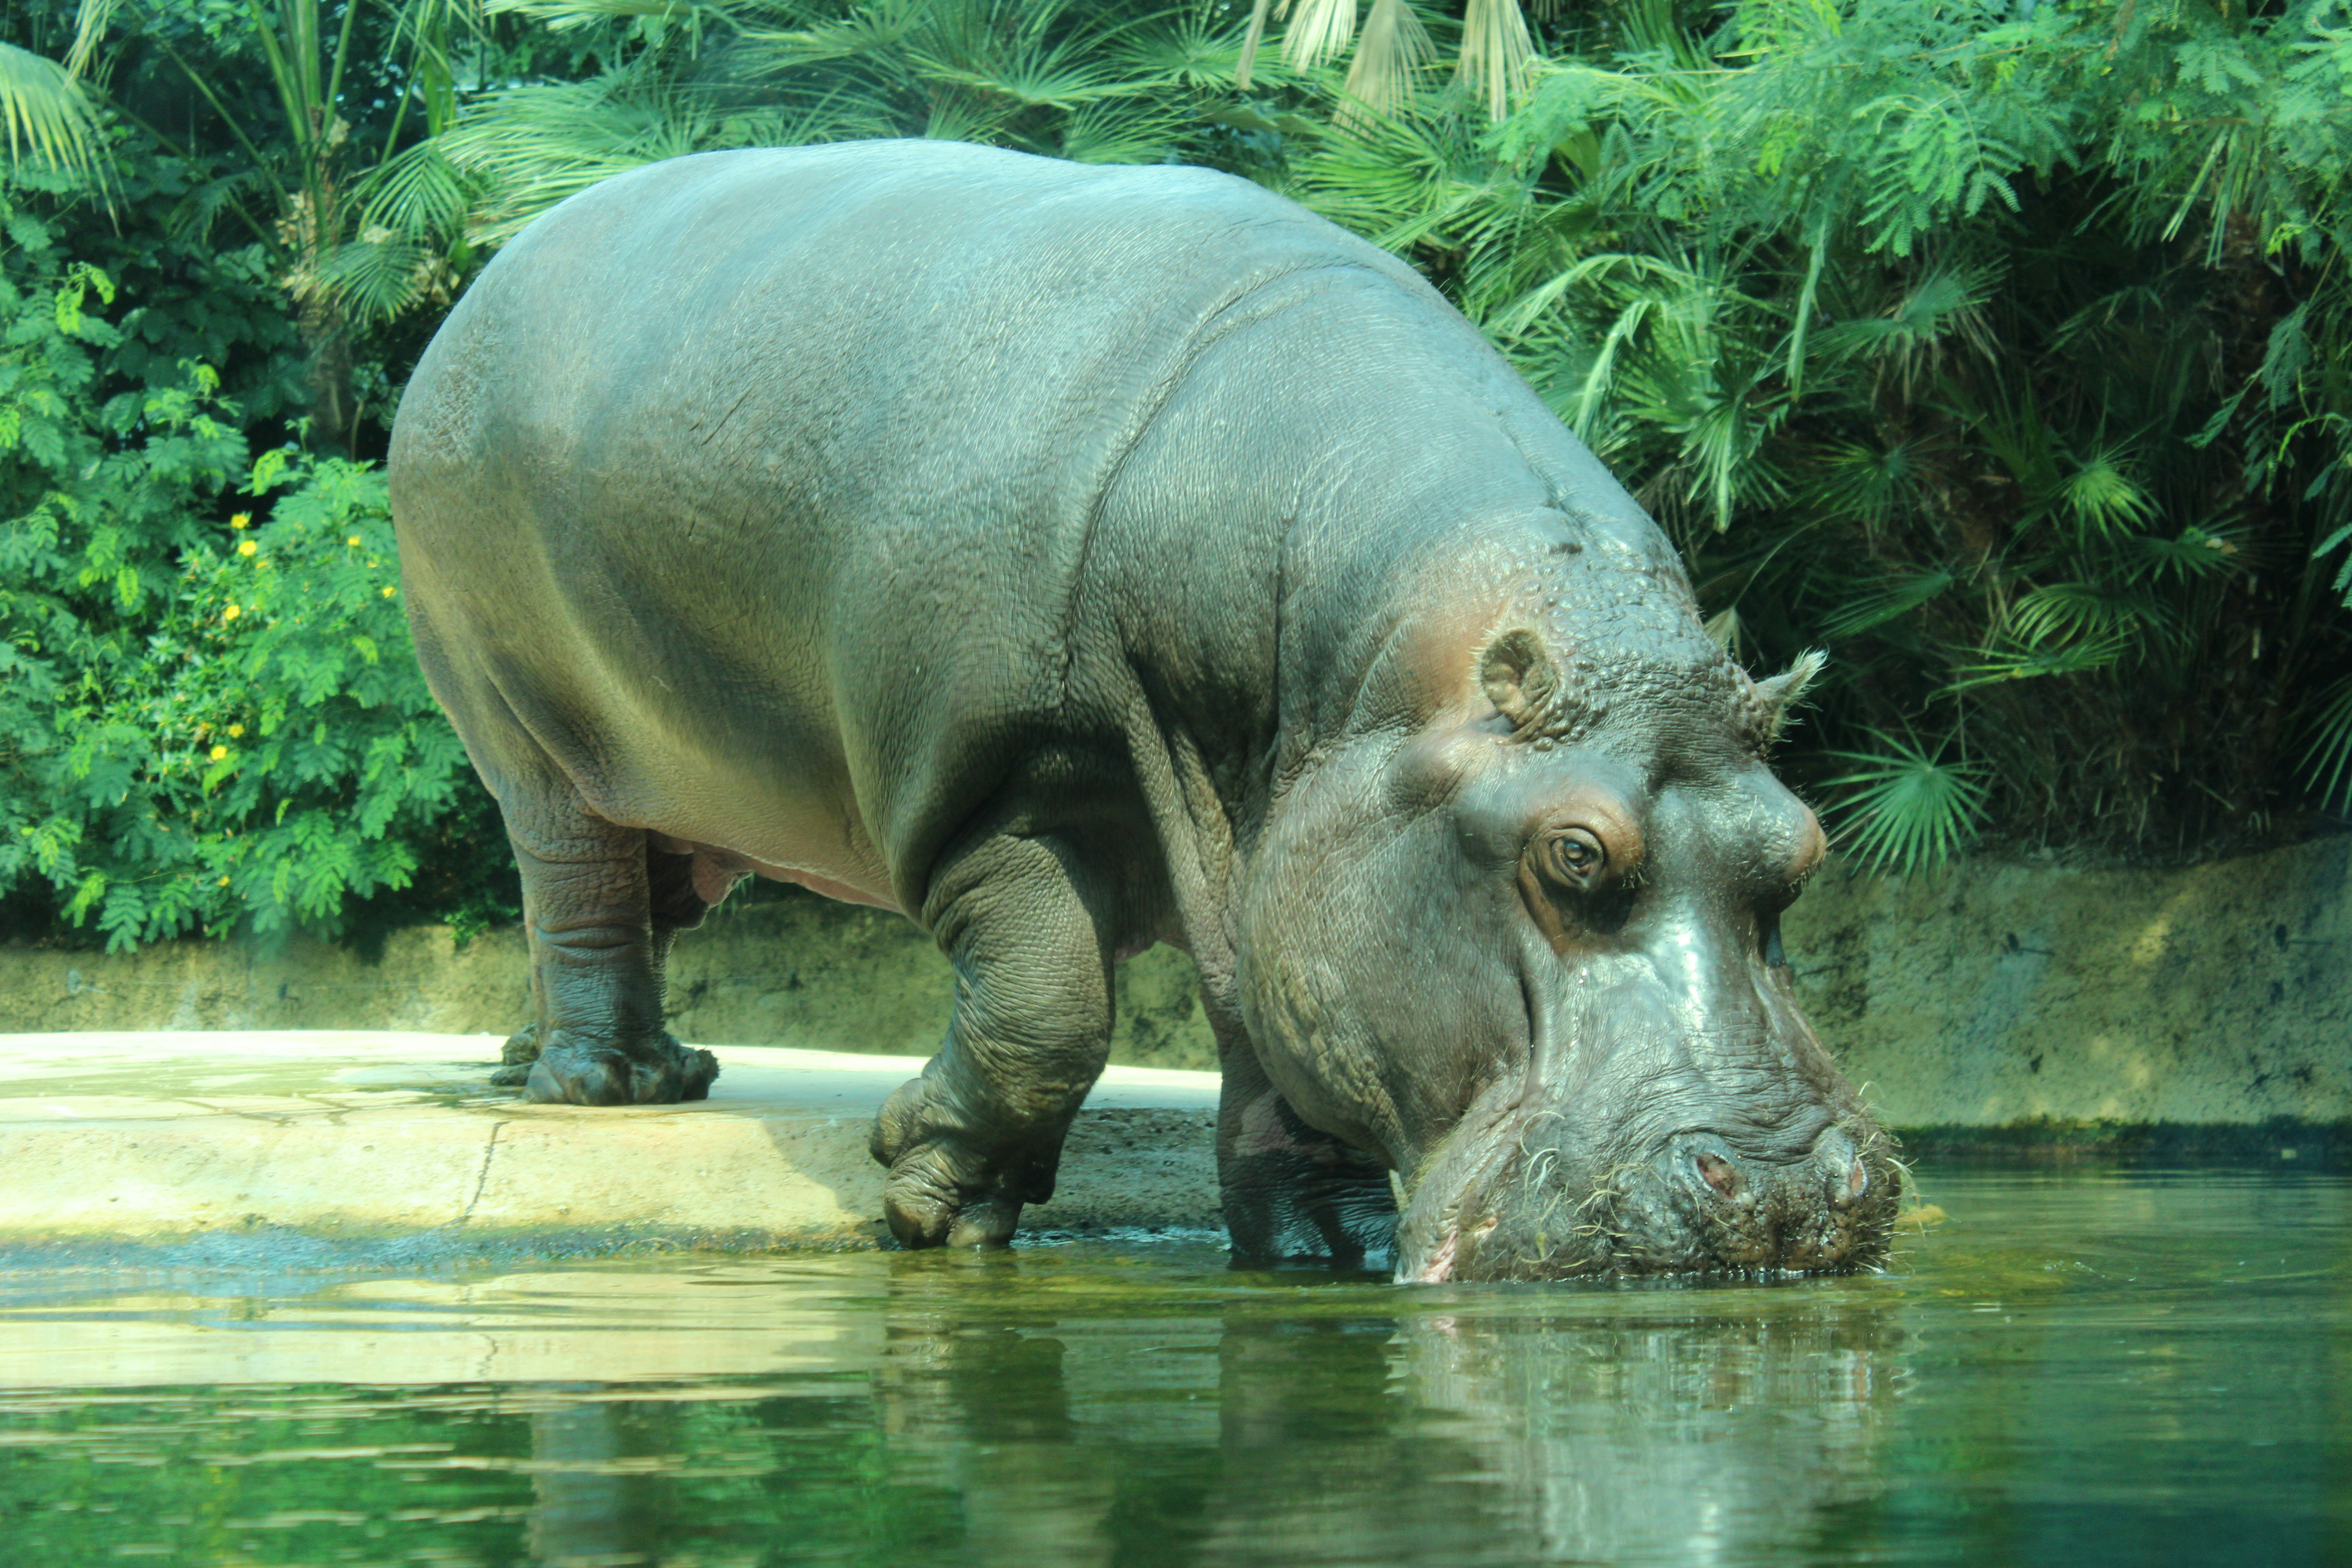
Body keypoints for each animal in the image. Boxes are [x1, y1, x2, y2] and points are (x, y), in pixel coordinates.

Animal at [389, 139, 1898, 1281]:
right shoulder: (993, 791)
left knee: (632, 901)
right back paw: (606, 1087)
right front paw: (929, 1198)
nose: (1785, 1193)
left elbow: (1282, 1054)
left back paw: (565, 1061)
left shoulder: (1270, 845)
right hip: (522, 727)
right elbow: (1049, 1011)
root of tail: (487, 280)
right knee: (575, 884)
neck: (1369, 680)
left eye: (1806, 847)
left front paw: (1325, 1251)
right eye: (1572, 852)